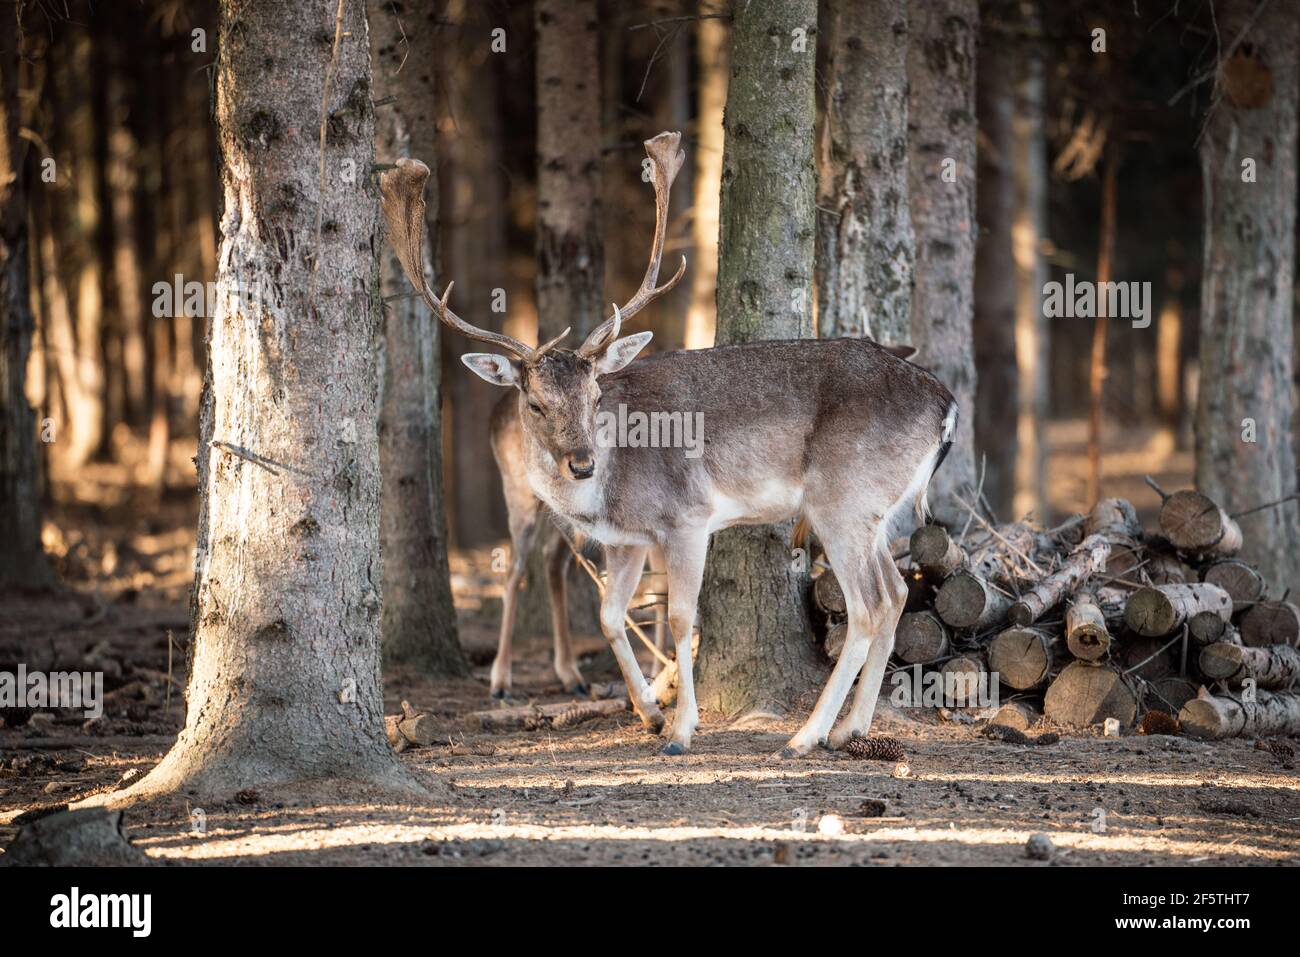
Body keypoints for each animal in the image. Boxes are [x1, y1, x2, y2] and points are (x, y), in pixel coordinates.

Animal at [380, 131, 957, 757]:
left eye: (595, 393)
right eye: (535, 403)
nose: (581, 464)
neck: (610, 490)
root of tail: (946, 405)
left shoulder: (687, 516)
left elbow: (682, 617)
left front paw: (681, 730)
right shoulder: (630, 540)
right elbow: (610, 615)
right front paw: (650, 713)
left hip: (843, 499)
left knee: (868, 606)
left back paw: (804, 736)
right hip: (873, 510)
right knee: (897, 593)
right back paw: (851, 728)